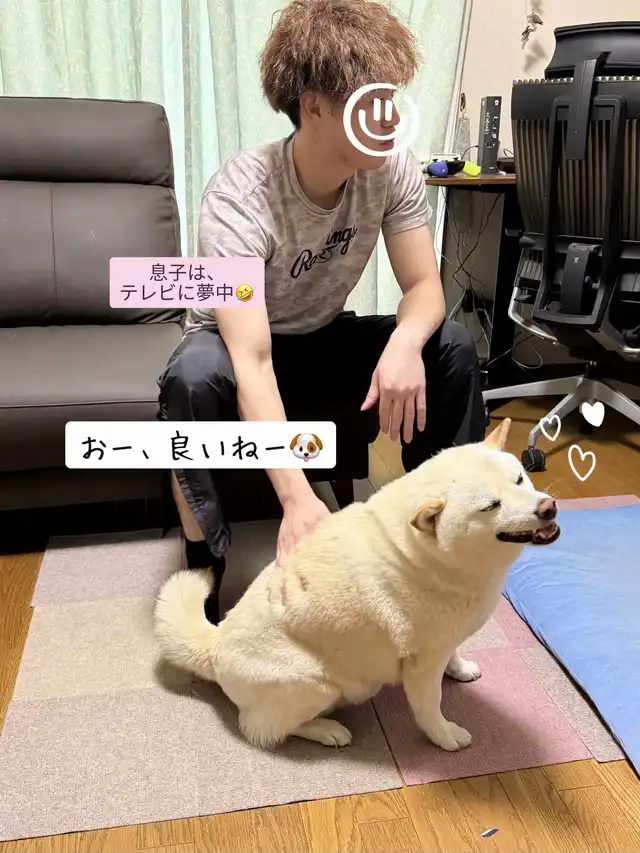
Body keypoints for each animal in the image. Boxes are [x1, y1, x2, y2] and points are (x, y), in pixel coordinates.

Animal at [154, 418, 560, 752]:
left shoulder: (446, 639)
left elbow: (455, 653)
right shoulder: (421, 664)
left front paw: (459, 669)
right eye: (491, 506)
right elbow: (430, 709)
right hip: (316, 684)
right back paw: (326, 730)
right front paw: (444, 737)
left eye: (520, 478)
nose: (549, 508)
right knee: (262, 729)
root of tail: (215, 644)